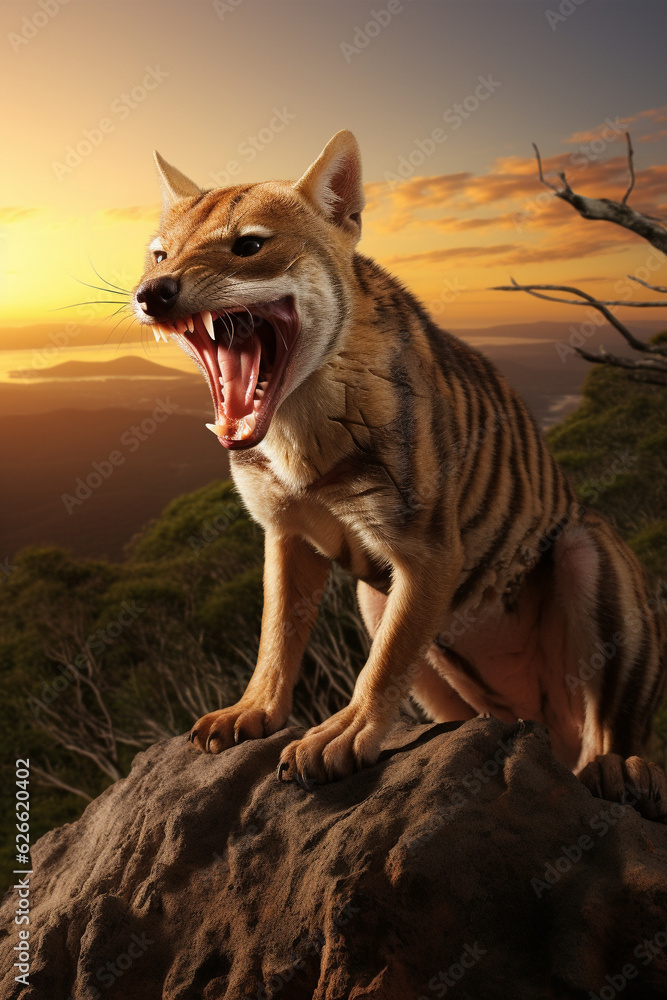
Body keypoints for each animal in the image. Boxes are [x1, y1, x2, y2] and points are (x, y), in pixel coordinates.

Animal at [132, 129, 666, 812]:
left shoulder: (427, 550)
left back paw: (619, 769)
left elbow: (381, 664)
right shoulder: (288, 536)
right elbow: (276, 636)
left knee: (609, 728)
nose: (153, 293)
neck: (299, 423)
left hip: (586, 551)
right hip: (379, 600)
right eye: (158, 254)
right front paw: (252, 712)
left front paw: (343, 734)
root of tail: (540, 722)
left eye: (249, 245)